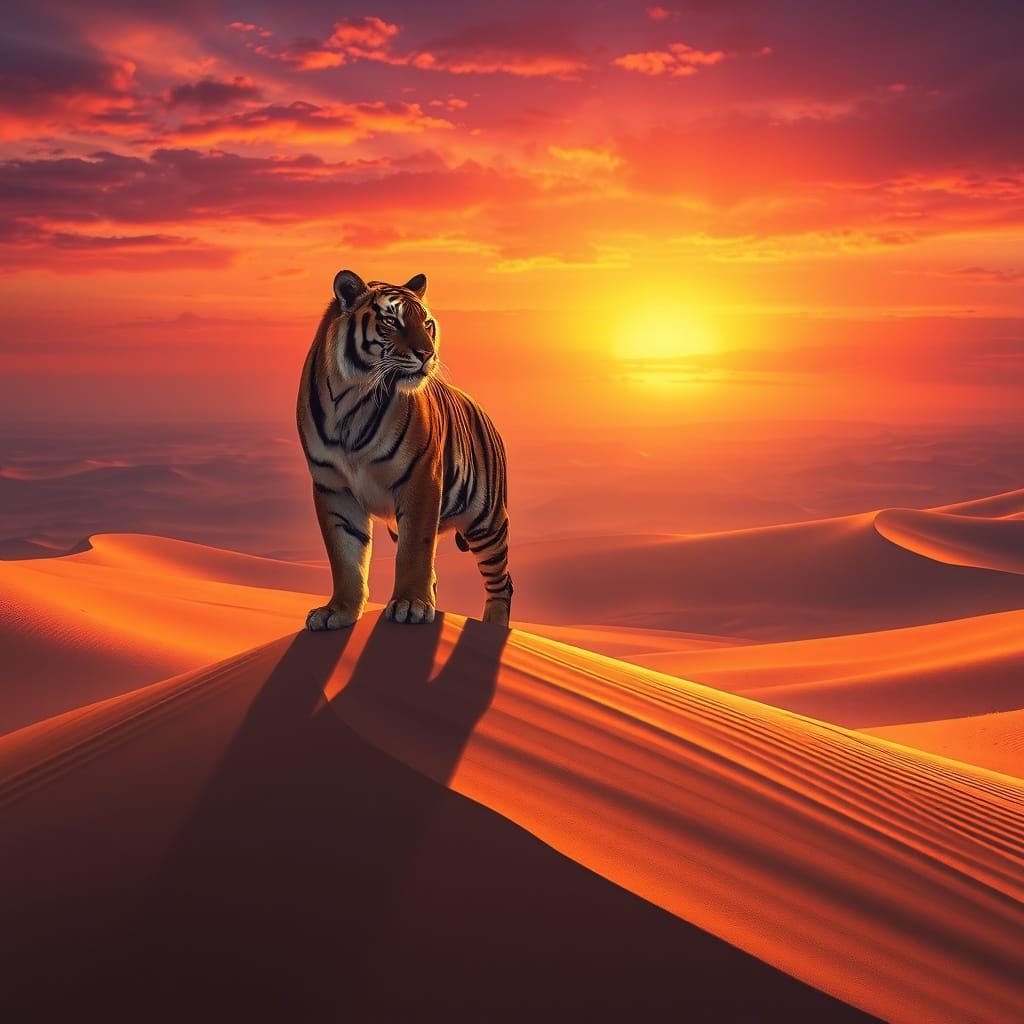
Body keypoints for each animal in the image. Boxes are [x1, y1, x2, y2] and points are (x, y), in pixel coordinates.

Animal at [297, 269, 512, 629]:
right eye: (391, 321)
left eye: (427, 324)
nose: (427, 354)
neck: (352, 398)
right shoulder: (332, 486)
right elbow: (344, 555)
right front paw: (338, 611)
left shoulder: (421, 478)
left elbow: (415, 551)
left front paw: (410, 605)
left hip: (487, 519)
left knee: (502, 581)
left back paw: (493, 626)